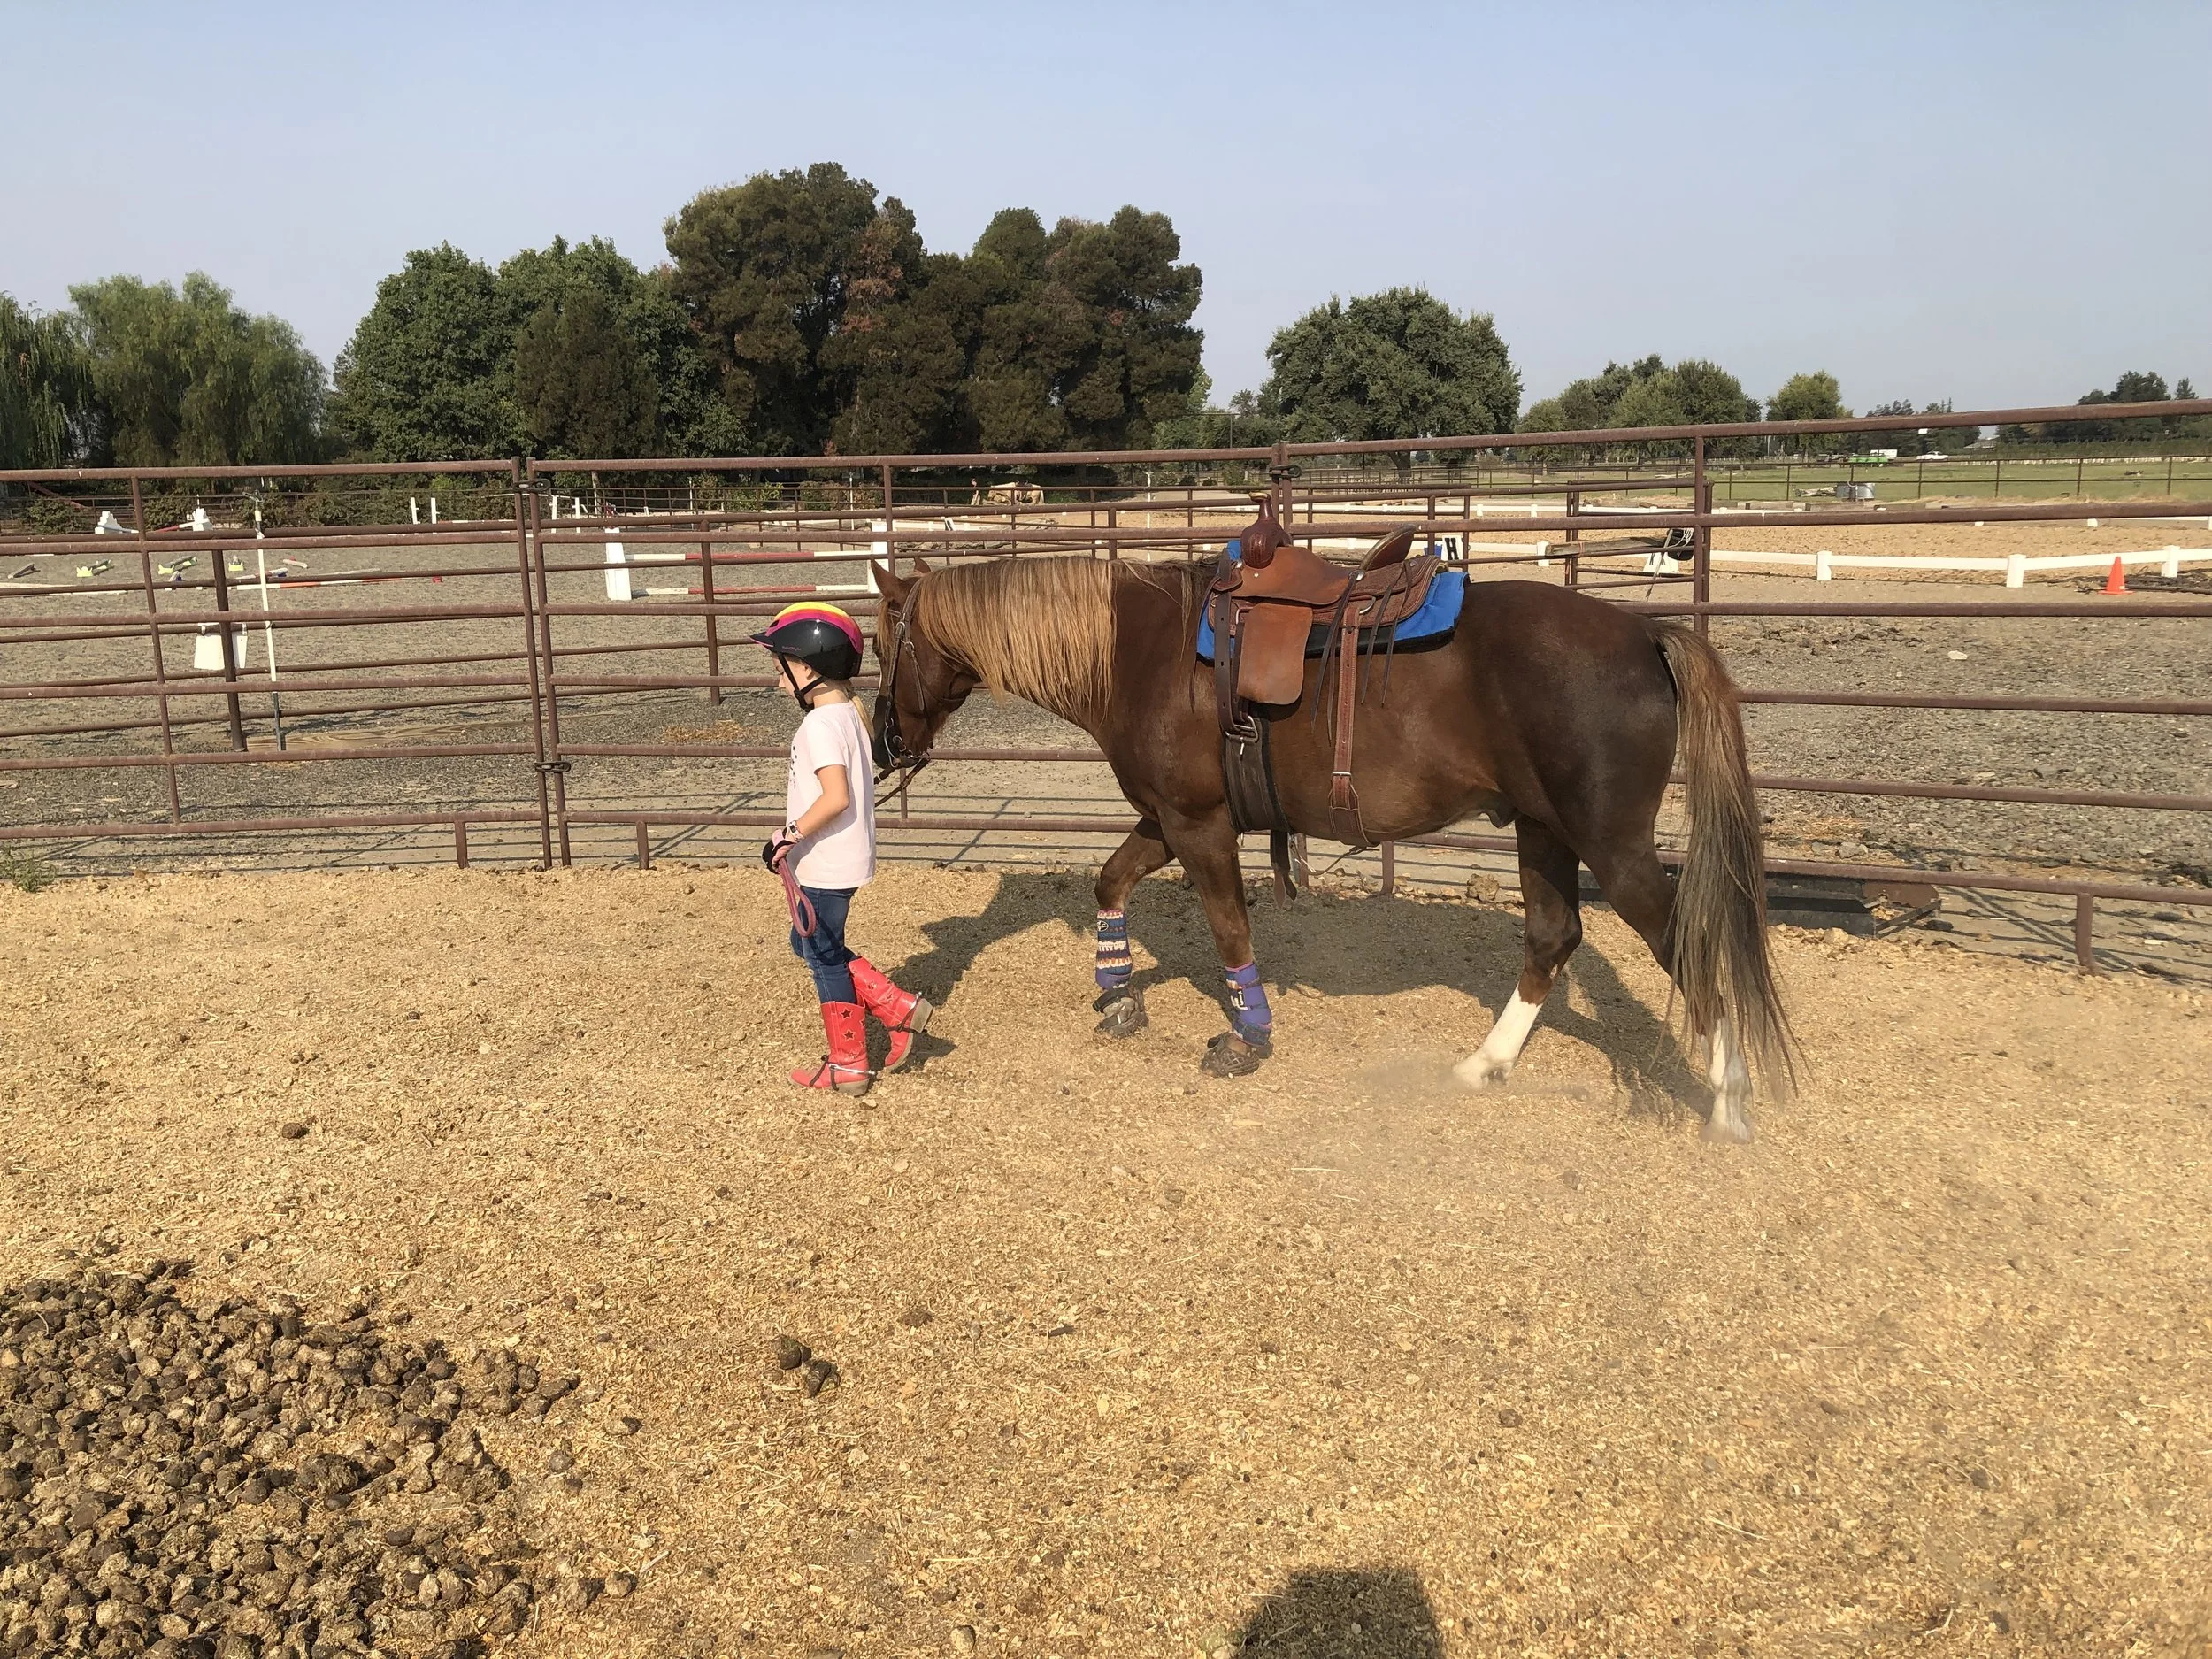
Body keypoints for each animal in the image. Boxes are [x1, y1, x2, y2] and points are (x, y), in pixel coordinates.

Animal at [867, 514, 1794, 1141]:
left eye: (883, 644)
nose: (883, 742)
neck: (1138, 652)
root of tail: (1643, 631)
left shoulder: (1200, 827)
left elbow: (1230, 929)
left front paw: (1246, 1037)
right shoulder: (1165, 819)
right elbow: (1110, 879)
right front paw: (1119, 994)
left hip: (1613, 847)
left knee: (1685, 941)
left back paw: (1728, 1104)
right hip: (1541, 829)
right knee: (1552, 935)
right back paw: (1485, 1063)